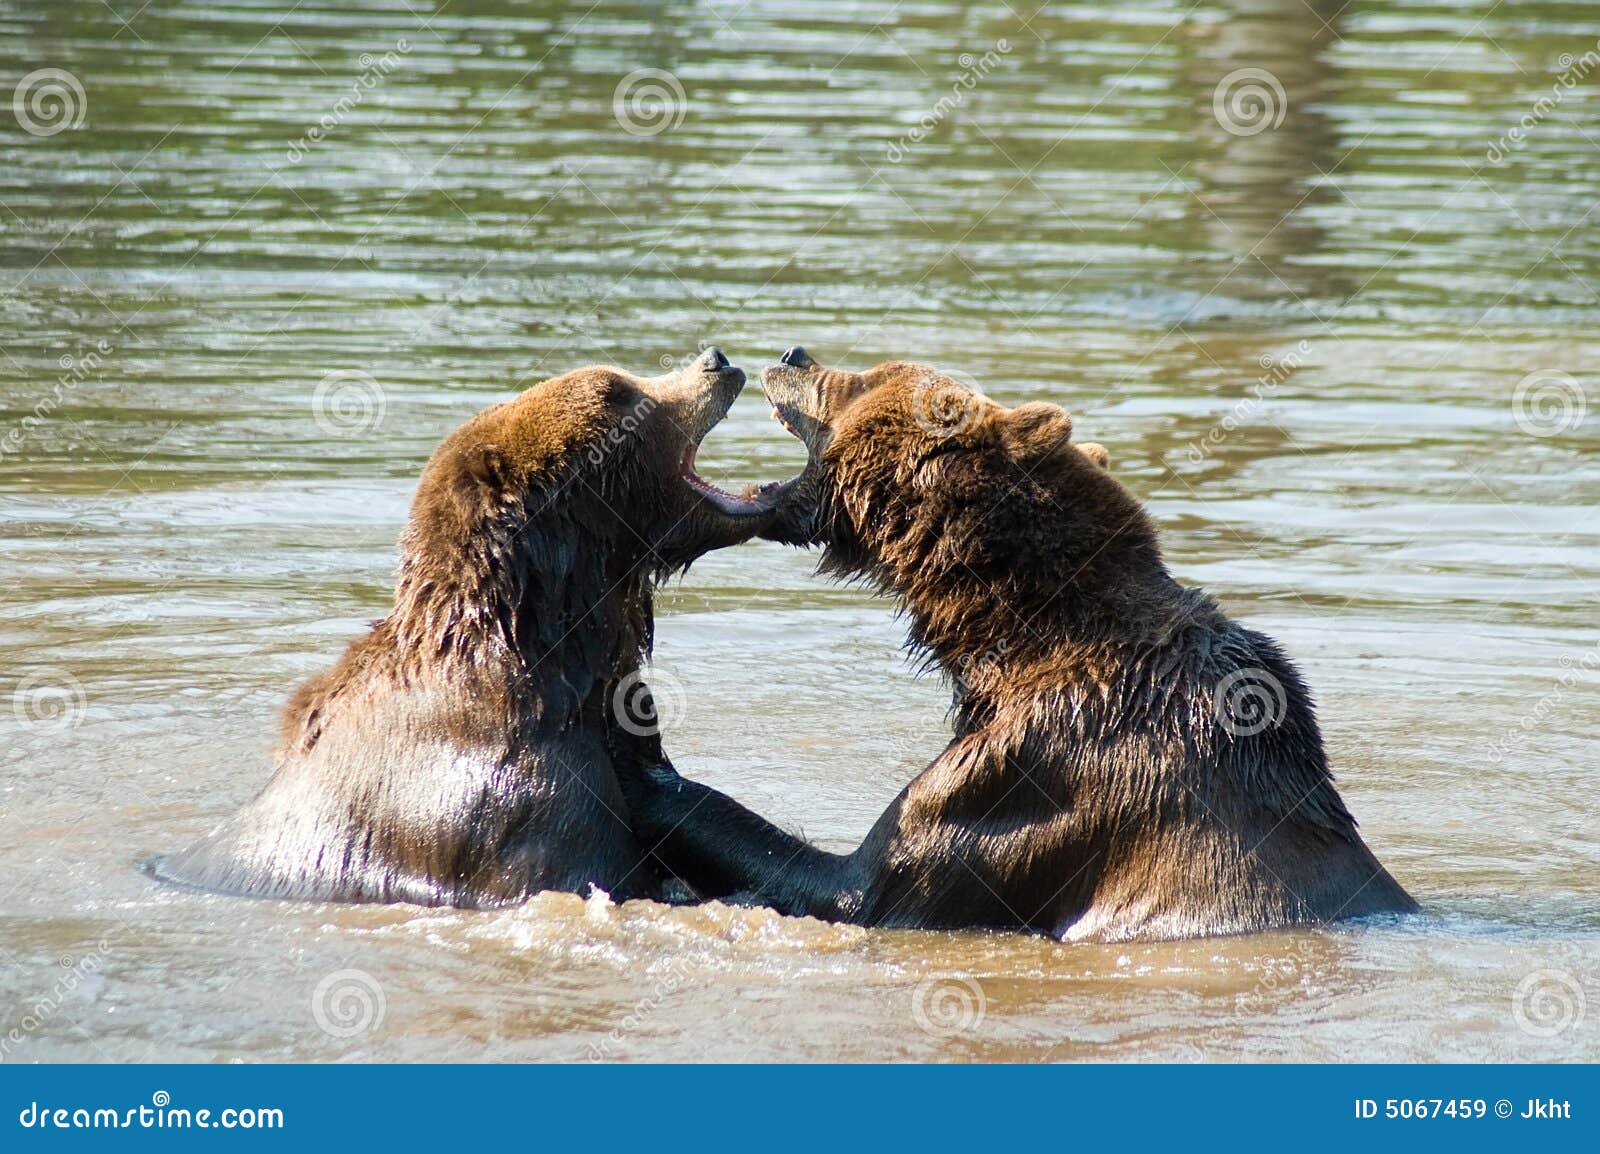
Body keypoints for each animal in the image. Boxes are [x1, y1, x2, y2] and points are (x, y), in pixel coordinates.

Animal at [626, 348, 1417, 941]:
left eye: (871, 377)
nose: (793, 352)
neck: (1013, 639)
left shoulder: (1040, 770)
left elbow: (862, 882)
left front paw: (657, 774)